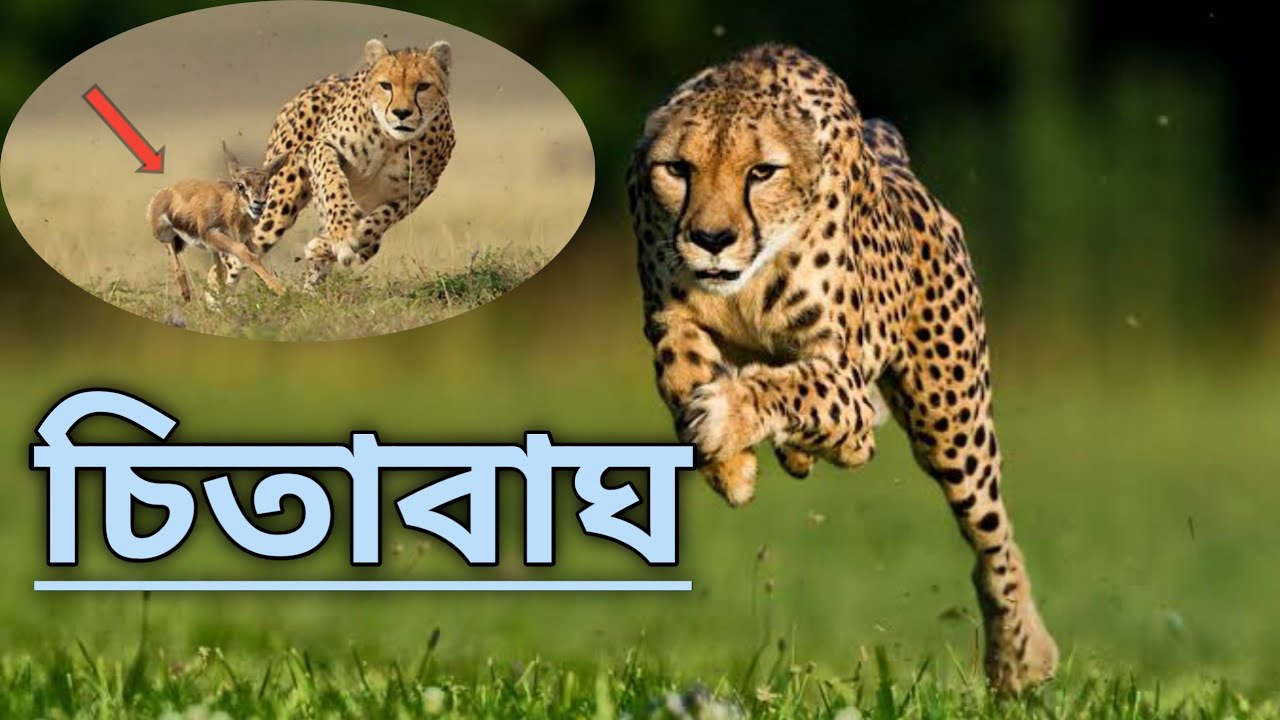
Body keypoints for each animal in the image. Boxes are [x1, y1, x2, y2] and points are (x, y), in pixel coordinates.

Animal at [246, 38, 456, 288]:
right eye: (386, 85)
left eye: (423, 86)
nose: (402, 113)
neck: (393, 142)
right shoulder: (324, 145)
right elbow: (333, 183)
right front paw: (342, 232)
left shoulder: (414, 192)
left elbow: (379, 221)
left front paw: (328, 244)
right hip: (279, 201)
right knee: (243, 247)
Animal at [626, 43, 1058, 693]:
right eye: (678, 169)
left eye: (762, 172)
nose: (711, 237)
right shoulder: (668, 315)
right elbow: (680, 369)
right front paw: (729, 467)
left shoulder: (843, 374)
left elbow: (797, 388)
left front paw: (728, 419)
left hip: (950, 423)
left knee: (993, 538)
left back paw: (1019, 657)